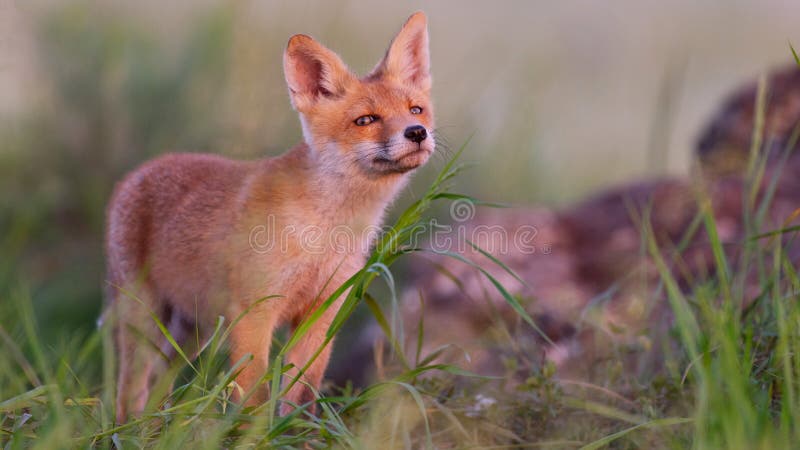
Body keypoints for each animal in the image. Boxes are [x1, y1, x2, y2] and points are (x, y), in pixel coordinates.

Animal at [105, 12, 434, 422]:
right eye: (366, 120)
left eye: (415, 110)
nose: (417, 132)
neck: (325, 234)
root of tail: (136, 172)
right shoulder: (254, 312)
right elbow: (254, 397)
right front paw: (251, 432)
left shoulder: (320, 312)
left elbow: (302, 396)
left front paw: (295, 433)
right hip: (144, 317)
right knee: (129, 391)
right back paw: (125, 430)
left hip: (193, 331)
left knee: (158, 385)